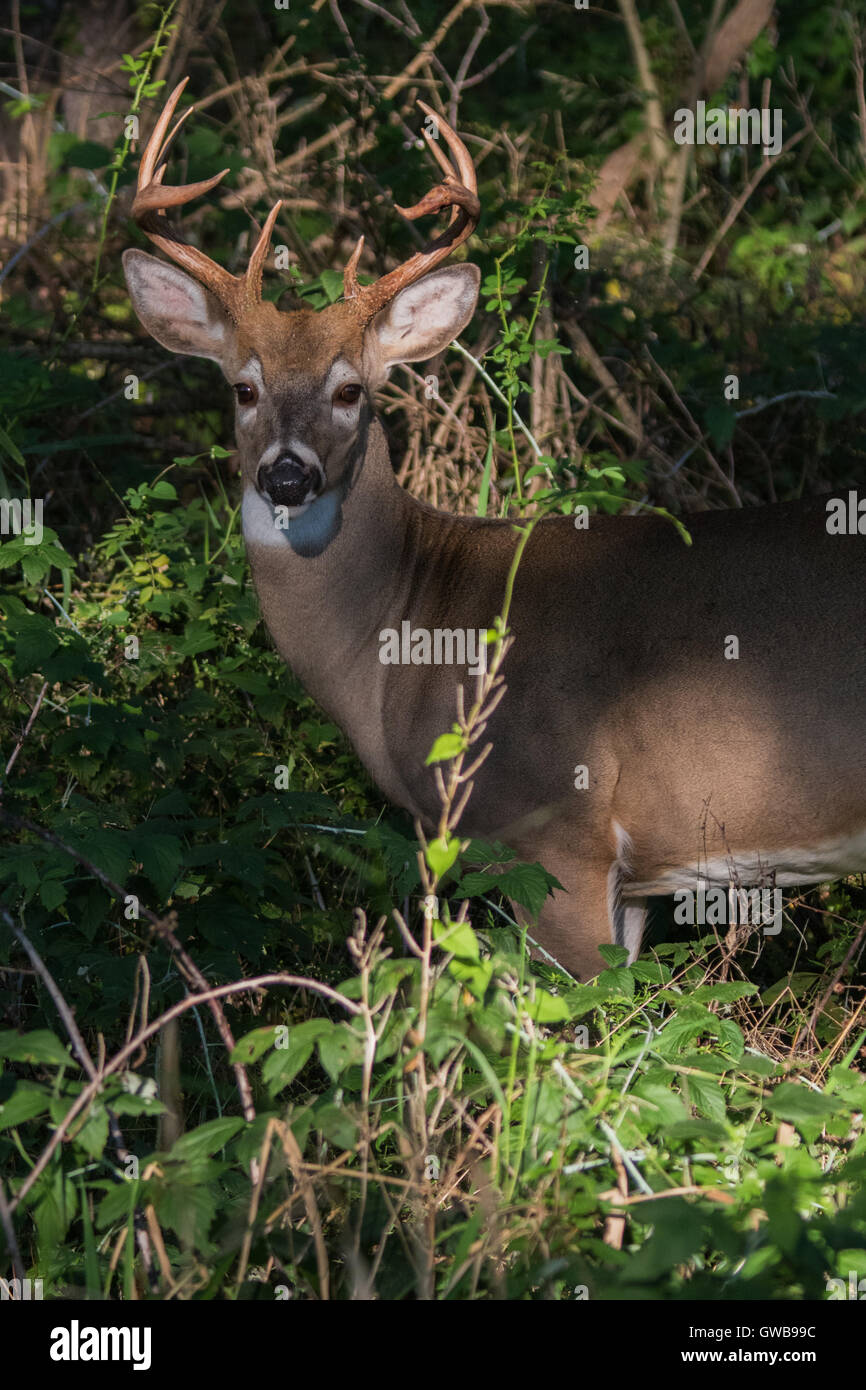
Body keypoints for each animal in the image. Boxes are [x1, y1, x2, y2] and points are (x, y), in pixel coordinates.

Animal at [123, 80, 866, 982]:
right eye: (242, 389)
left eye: (350, 390)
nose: (288, 475)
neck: (407, 630)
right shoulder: (631, 881)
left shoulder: (555, 827)